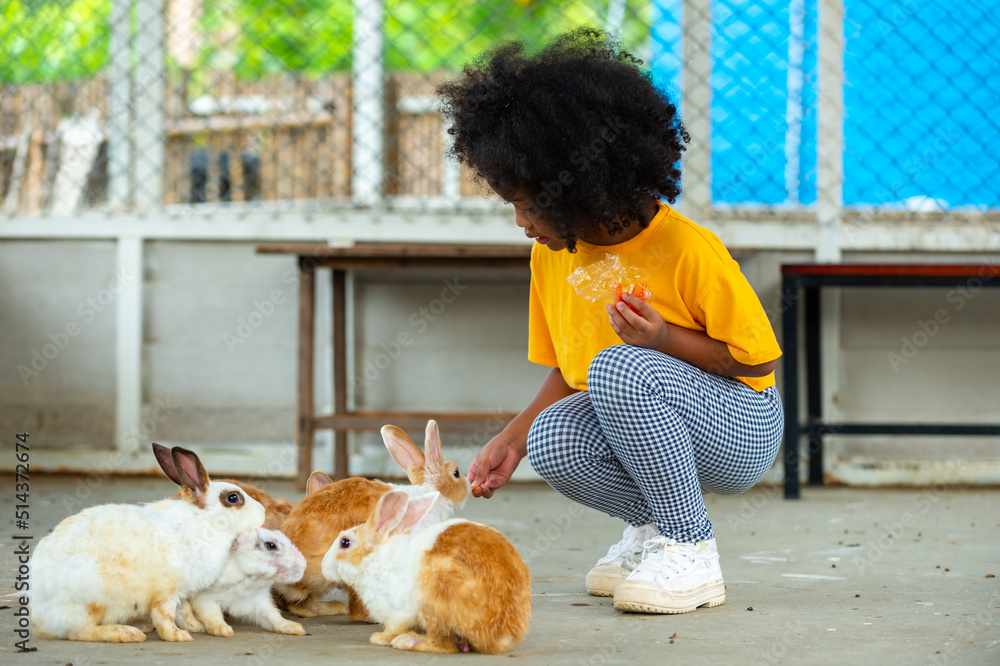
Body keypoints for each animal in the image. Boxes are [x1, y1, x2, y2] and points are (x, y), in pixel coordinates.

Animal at [30, 443, 266, 643]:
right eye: (233, 498)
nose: (263, 513)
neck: (206, 523)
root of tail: (40, 616)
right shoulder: (167, 592)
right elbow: (165, 615)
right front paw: (178, 636)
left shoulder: (183, 593)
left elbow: (184, 612)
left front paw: (196, 627)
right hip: (92, 602)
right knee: (78, 632)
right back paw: (127, 633)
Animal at [178, 528, 307, 637]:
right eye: (271, 545)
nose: (303, 566)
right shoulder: (205, 598)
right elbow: (212, 614)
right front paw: (223, 630)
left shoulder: (257, 601)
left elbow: (272, 615)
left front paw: (293, 627)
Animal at [321, 490, 532, 654]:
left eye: (345, 542)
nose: (324, 566)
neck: (376, 560)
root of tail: (503, 634)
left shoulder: (400, 612)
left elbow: (393, 627)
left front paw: (379, 638)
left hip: (434, 599)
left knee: (444, 645)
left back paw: (407, 641)